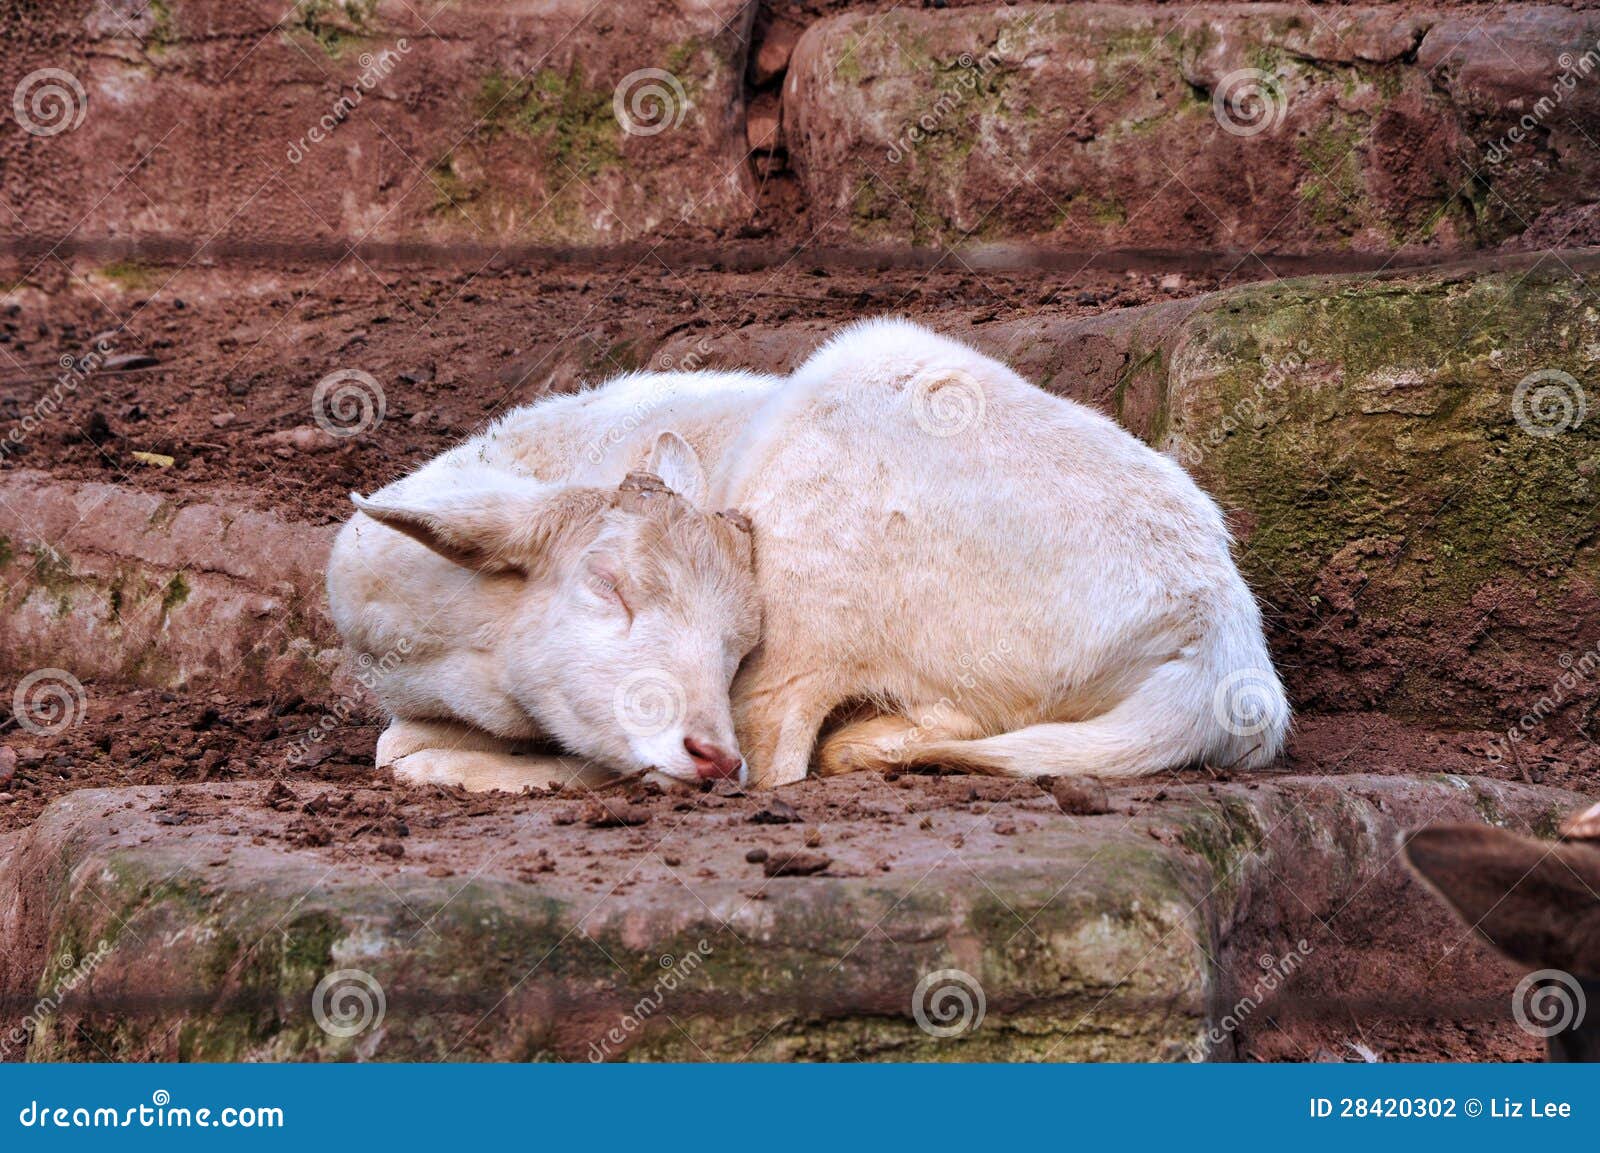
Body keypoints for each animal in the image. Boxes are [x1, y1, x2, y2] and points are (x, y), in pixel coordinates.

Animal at [327, 318, 1289, 790]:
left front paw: (444, 762)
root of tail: (1224, 645)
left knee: (778, 759)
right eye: (606, 584)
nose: (702, 749)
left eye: (736, 637)